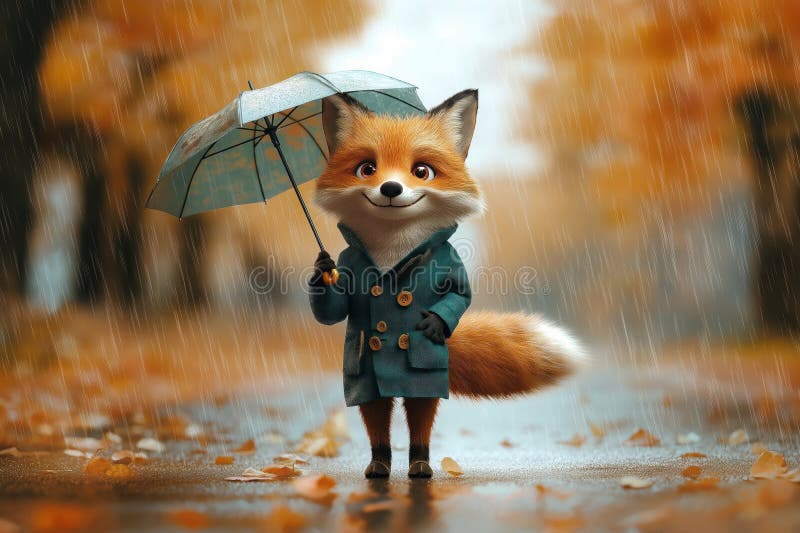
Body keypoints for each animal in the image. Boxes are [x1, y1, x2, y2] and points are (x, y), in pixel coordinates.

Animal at [309, 89, 585, 479]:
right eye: (367, 169)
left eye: (421, 171)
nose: (390, 188)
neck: (395, 250)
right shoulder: (349, 264)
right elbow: (334, 310)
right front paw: (321, 271)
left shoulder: (449, 260)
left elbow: (459, 294)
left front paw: (434, 323)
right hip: (360, 372)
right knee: (376, 411)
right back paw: (379, 464)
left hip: (426, 373)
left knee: (420, 410)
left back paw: (420, 464)